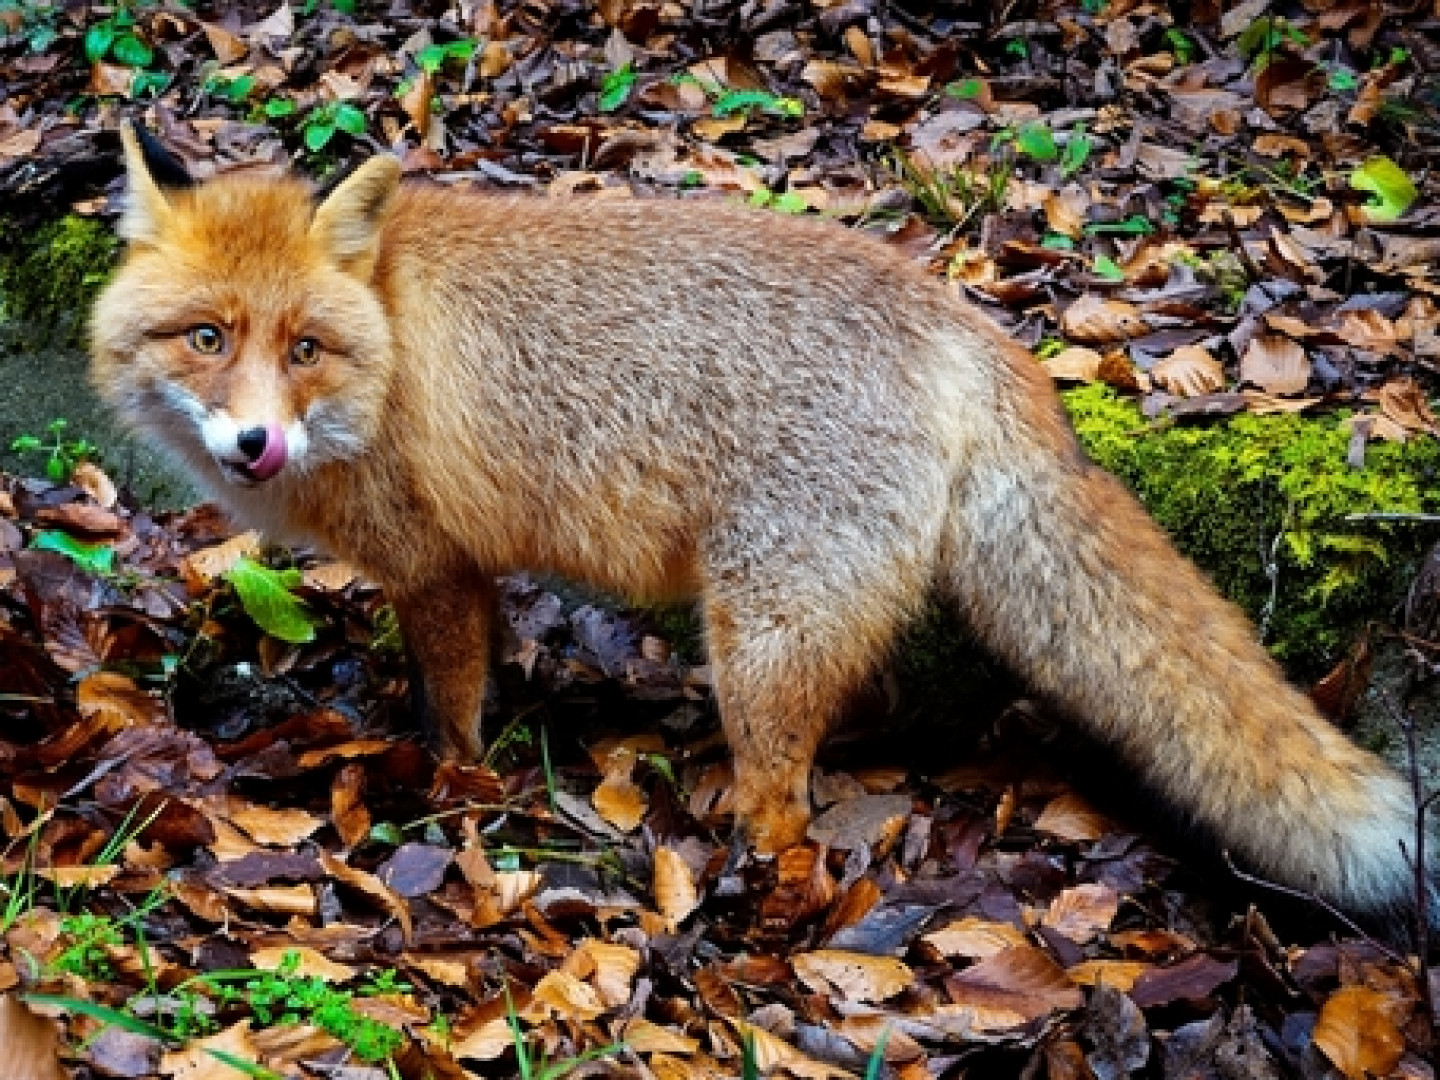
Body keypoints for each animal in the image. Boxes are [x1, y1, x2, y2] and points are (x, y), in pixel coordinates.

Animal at [91, 122, 1426, 921]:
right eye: (206, 338)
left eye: (302, 350)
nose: (254, 444)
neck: (394, 357)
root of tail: (972, 324)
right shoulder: (466, 568)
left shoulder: (437, 566)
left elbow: (453, 712)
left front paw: (457, 788)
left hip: (761, 635)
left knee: (790, 807)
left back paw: (733, 874)